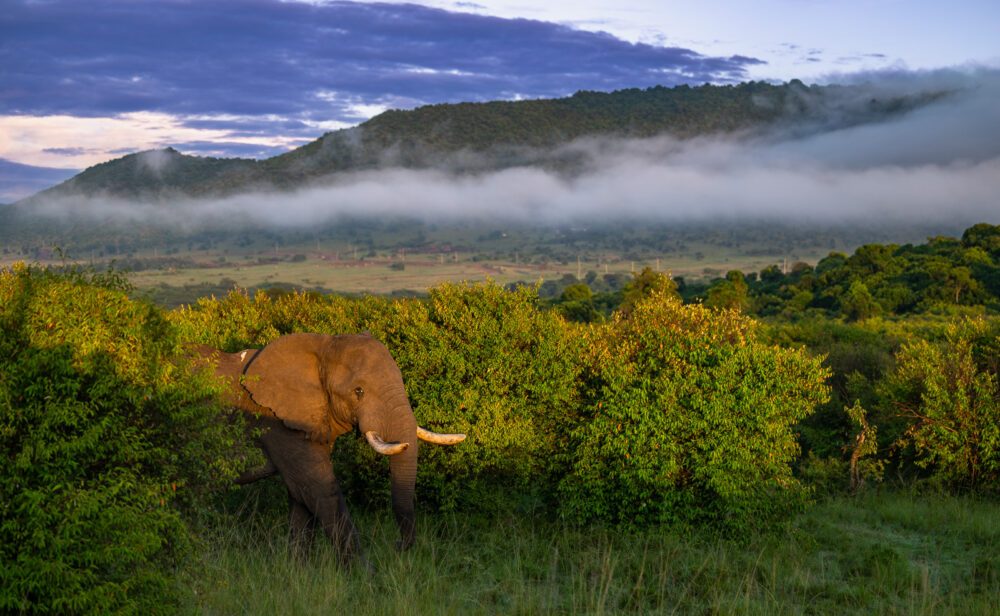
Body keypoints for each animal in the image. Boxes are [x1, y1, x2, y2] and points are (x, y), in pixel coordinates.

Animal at [188, 332, 465, 567]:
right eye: (358, 391)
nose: (397, 545)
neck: (322, 346)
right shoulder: (277, 422)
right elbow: (319, 489)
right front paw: (366, 579)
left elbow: (301, 497)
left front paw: (298, 574)